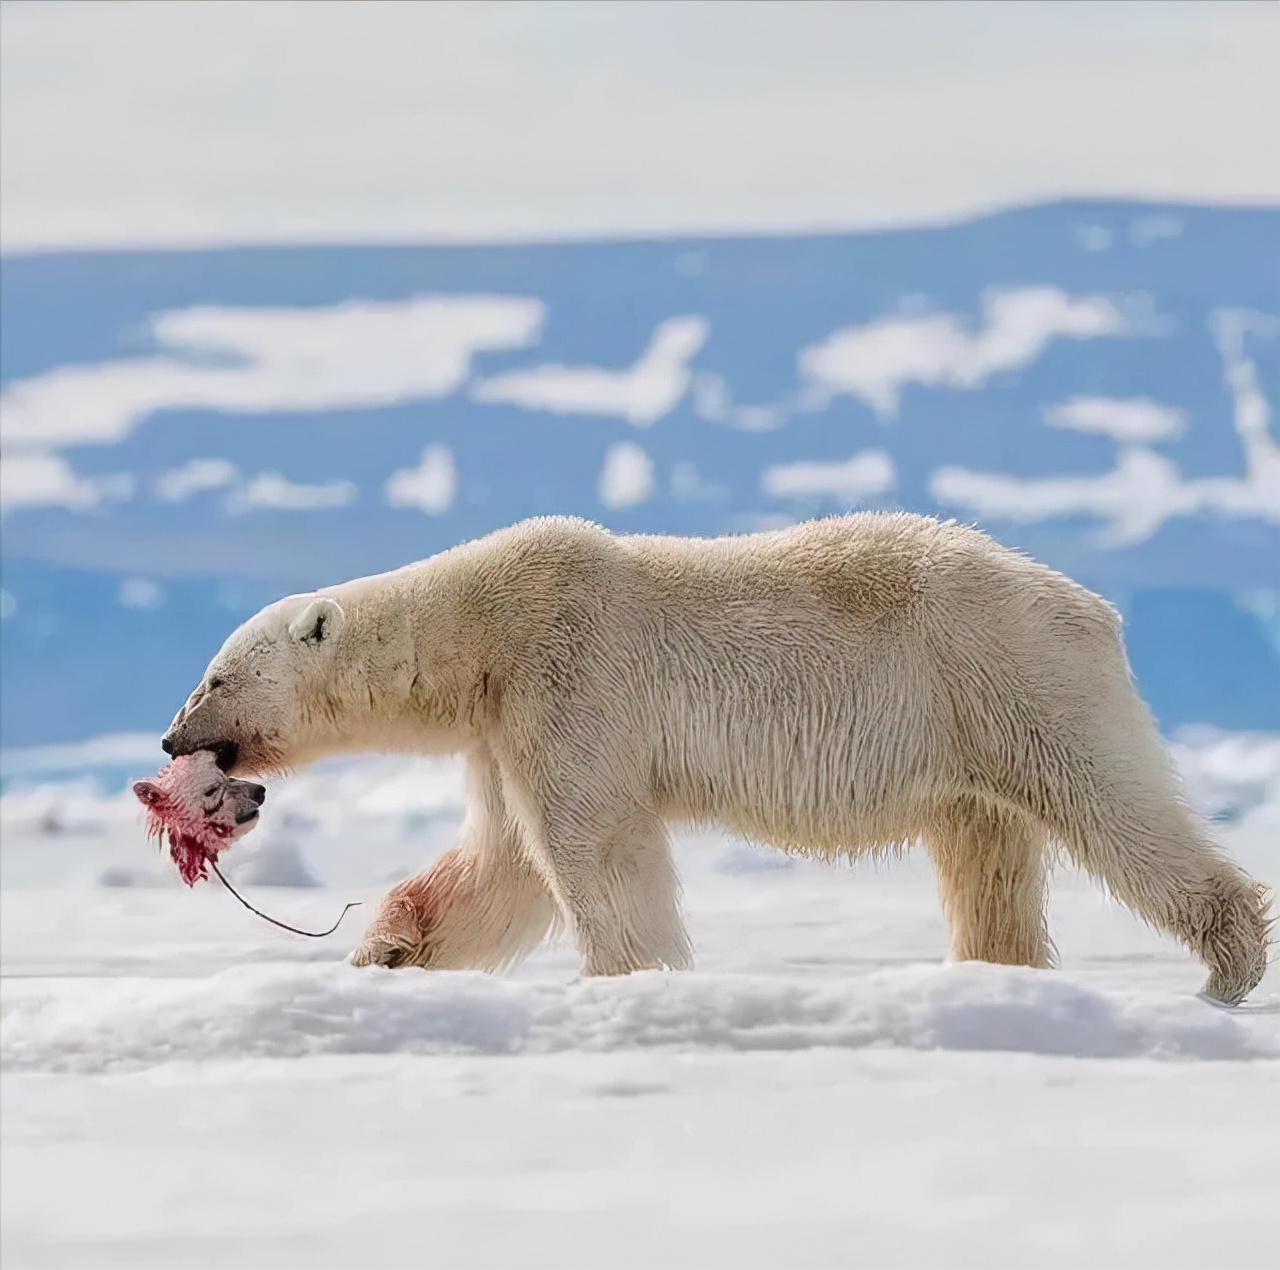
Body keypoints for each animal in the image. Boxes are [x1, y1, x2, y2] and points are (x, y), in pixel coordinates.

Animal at [161, 513, 1272, 1003]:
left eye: (213, 677)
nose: (171, 739)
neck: (480, 628)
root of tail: (1090, 607)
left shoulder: (570, 676)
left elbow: (590, 847)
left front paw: (631, 976)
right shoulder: (504, 723)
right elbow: (500, 862)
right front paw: (388, 949)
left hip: (1009, 675)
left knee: (1111, 806)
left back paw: (1228, 962)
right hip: (966, 735)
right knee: (986, 854)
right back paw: (993, 973)